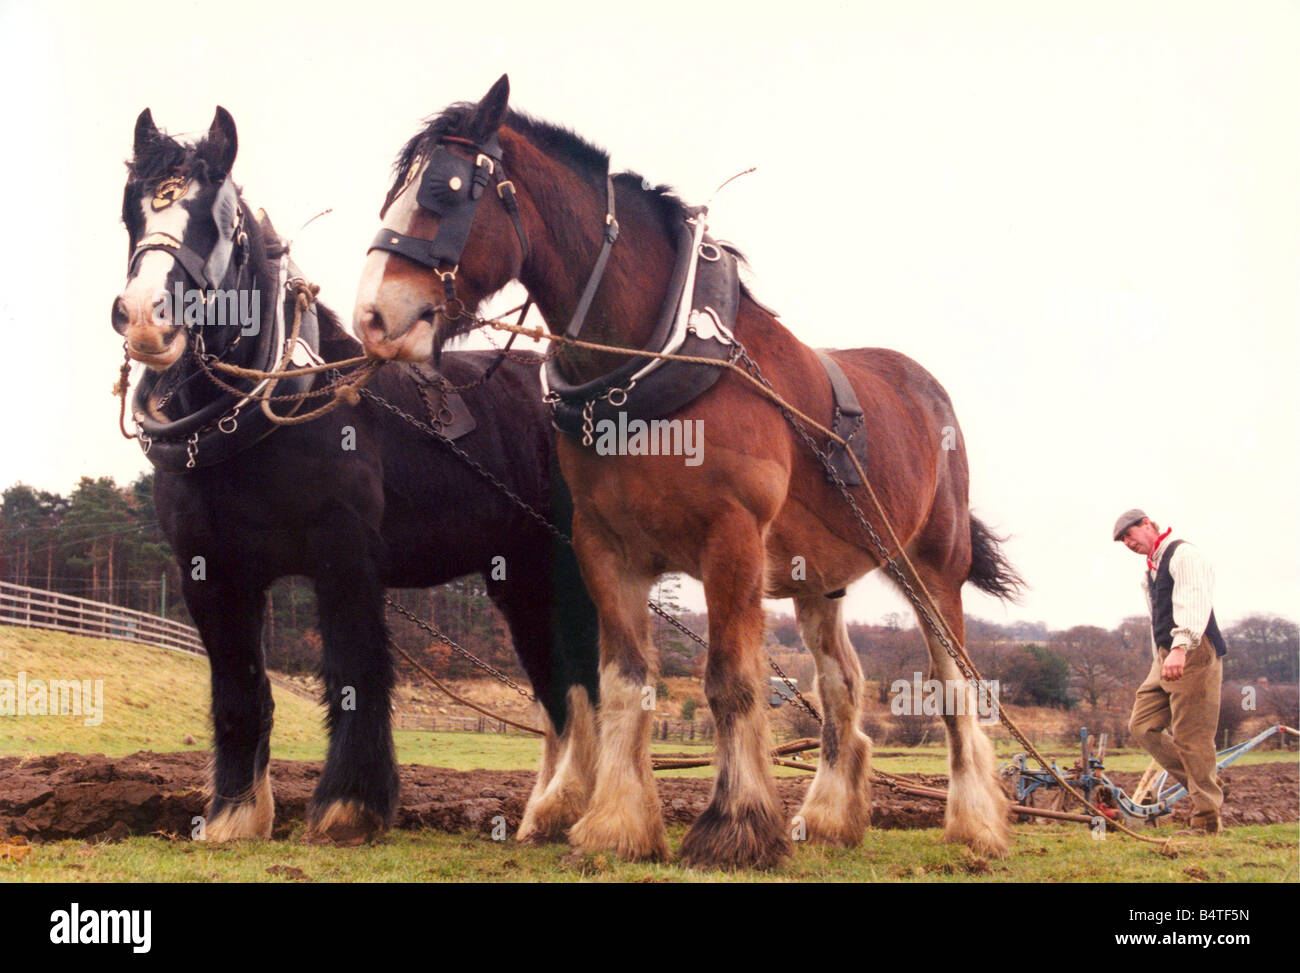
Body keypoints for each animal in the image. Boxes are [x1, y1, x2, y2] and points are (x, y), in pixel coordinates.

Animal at [112, 106, 600, 845]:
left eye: (219, 223)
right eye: (131, 213)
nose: (144, 317)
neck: (270, 417)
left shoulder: (344, 558)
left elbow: (353, 673)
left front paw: (348, 806)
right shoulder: (210, 572)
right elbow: (238, 688)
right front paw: (233, 815)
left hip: (568, 566)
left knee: (591, 684)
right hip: (518, 578)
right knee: (556, 689)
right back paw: (546, 811)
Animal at [354, 76, 1022, 869]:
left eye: (447, 190)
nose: (371, 316)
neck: (654, 363)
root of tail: (926, 389)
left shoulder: (730, 541)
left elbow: (730, 682)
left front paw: (735, 827)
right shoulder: (605, 548)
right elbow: (622, 682)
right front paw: (616, 824)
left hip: (931, 568)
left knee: (954, 687)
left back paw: (976, 822)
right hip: (818, 579)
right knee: (841, 685)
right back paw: (831, 816)